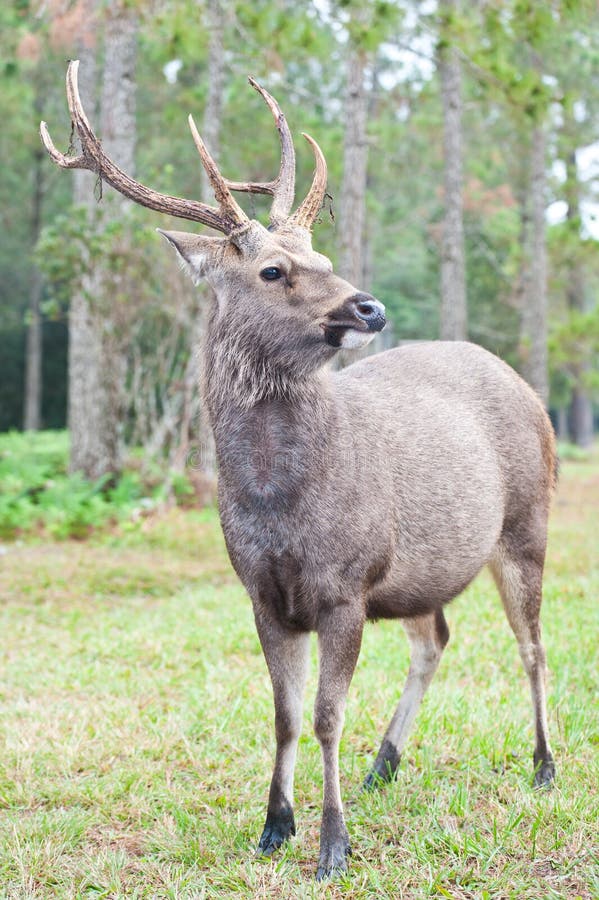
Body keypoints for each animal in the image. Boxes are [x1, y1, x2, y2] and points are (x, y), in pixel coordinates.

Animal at [41, 61, 556, 881]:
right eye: (273, 269)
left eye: (326, 259)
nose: (368, 307)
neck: (279, 505)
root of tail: (522, 385)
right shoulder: (263, 592)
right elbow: (283, 714)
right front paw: (273, 825)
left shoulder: (345, 584)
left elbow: (324, 715)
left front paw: (332, 845)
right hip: (417, 570)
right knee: (436, 637)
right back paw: (385, 765)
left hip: (526, 523)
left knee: (531, 646)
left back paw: (542, 767)